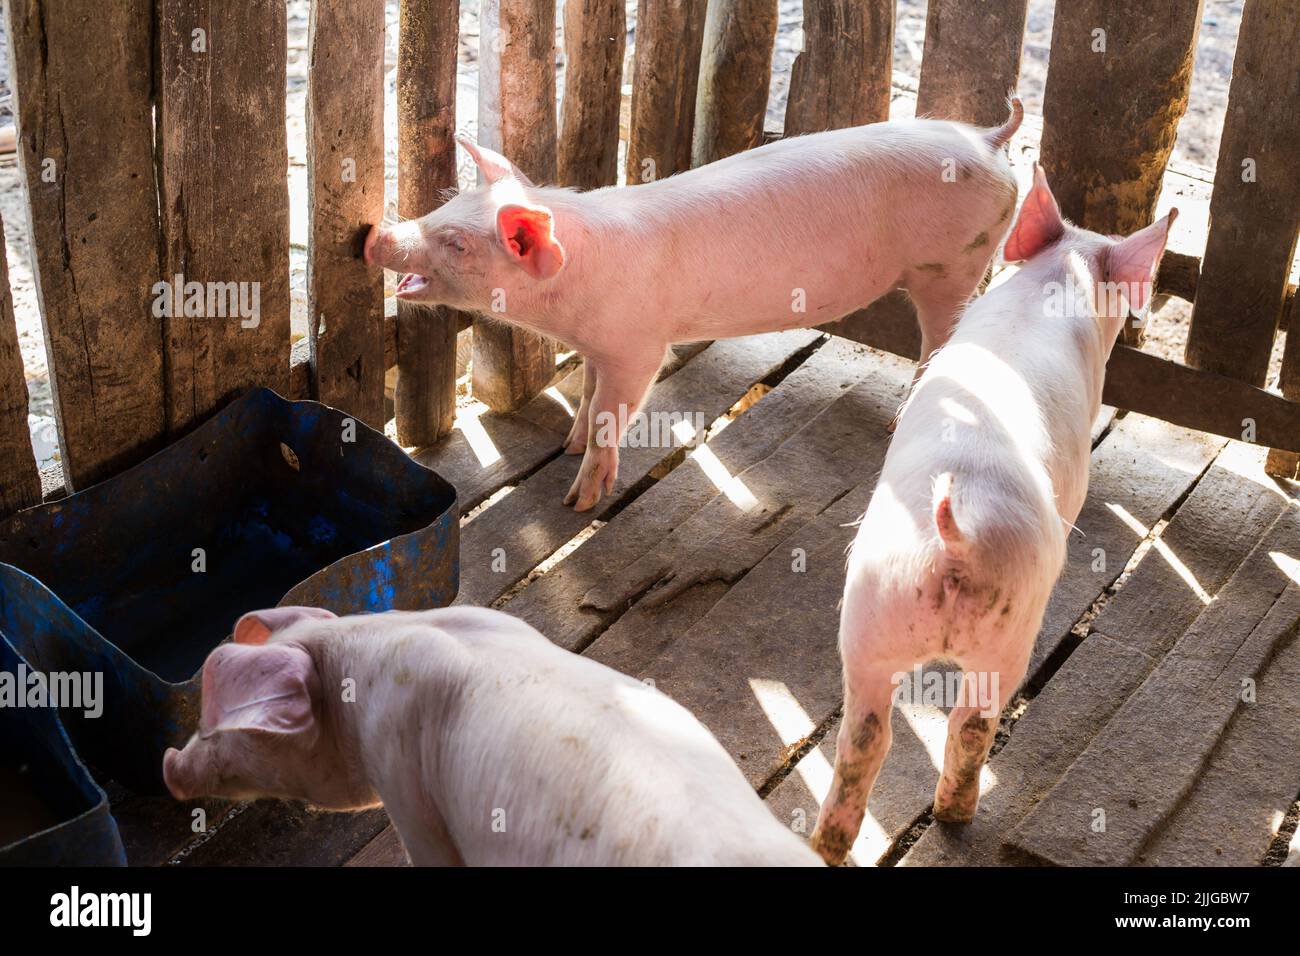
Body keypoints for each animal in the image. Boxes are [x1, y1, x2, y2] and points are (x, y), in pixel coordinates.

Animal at [365, 102, 1025, 511]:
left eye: (457, 242)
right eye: (443, 207)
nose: (374, 236)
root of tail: (988, 139)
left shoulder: (638, 346)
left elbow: (611, 413)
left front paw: (578, 499)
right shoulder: (599, 346)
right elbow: (590, 397)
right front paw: (570, 443)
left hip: (955, 264)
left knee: (939, 339)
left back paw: (899, 421)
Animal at [809, 166, 1177, 865]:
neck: (1056, 278)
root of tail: (959, 539)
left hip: (869, 610)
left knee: (864, 738)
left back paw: (826, 844)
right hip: (1010, 628)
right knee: (973, 722)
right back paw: (957, 815)